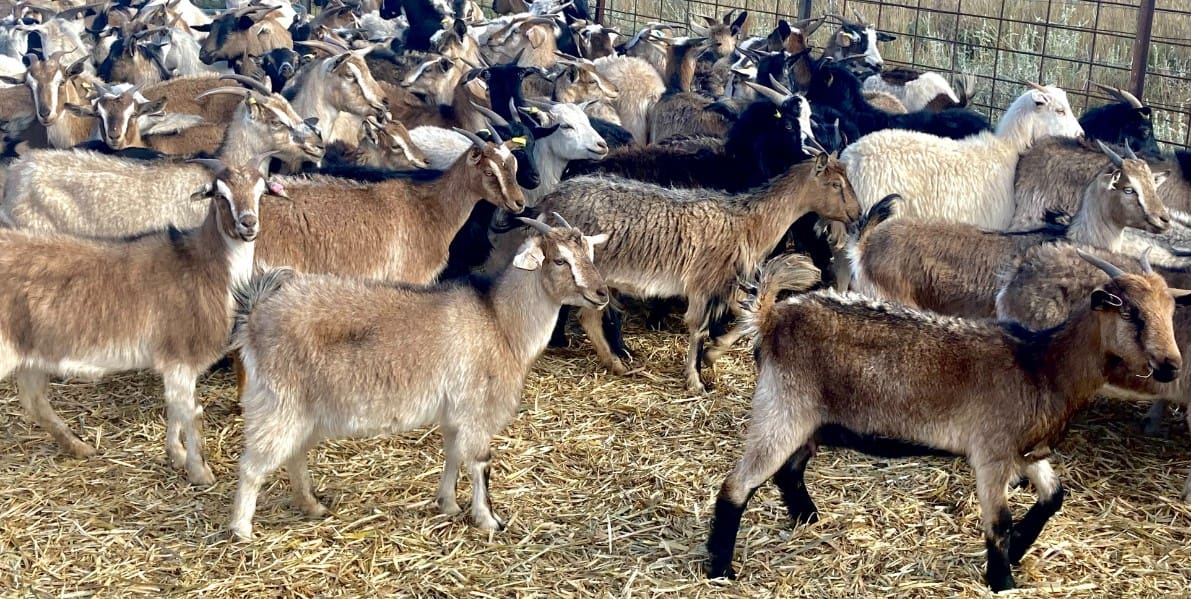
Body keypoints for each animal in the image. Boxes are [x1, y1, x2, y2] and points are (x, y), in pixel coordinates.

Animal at [0, 154, 270, 486]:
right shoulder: (180, 354)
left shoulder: (171, 362)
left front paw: (176, 455)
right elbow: (190, 412)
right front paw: (200, 471)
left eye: (261, 193)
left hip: (31, 353)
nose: (248, 223)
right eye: (220, 195)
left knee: (34, 400)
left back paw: (79, 446)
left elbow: (174, 407)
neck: (203, 266)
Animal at [226, 213, 609, 540]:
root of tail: (257, 311)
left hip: (302, 407)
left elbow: (453, 455)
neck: (500, 322)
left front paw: (448, 504)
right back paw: (242, 529)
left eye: (590, 253)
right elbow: (480, 462)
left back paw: (312, 505)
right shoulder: (477, 409)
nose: (601, 293)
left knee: (293, 453)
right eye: (559, 260)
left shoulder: (455, 412)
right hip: (278, 400)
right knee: (253, 465)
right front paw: (489, 519)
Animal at [514, 150, 860, 393]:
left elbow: (748, 313)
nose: (856, 213)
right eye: (835, 184)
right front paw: (696, 379)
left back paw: (615, 363)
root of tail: (550, 199)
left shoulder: (726, 283)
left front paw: (713, 355)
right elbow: (698, 328)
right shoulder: (705, 282)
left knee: (588, 316)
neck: (748, 221)